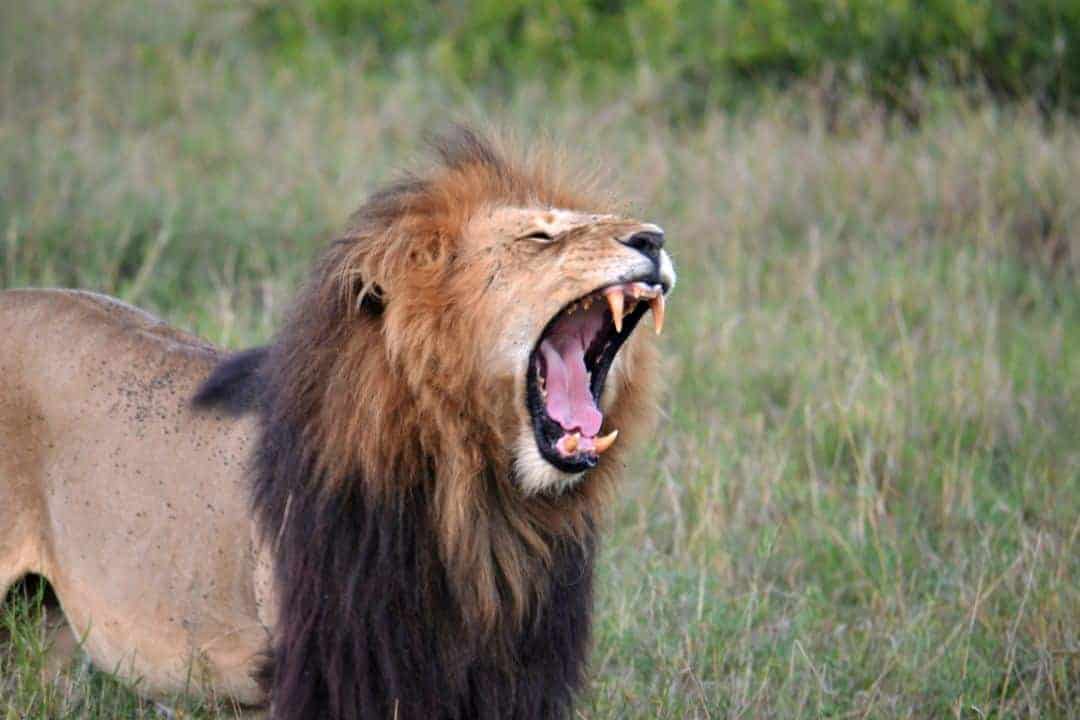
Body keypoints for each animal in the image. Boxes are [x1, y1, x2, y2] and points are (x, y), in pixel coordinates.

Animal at [0, 128, 676, 719]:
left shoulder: (511, 679)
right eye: (540, 236)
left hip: (45, 623)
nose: (653, 237)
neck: (484, 509)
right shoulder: (330, 673)